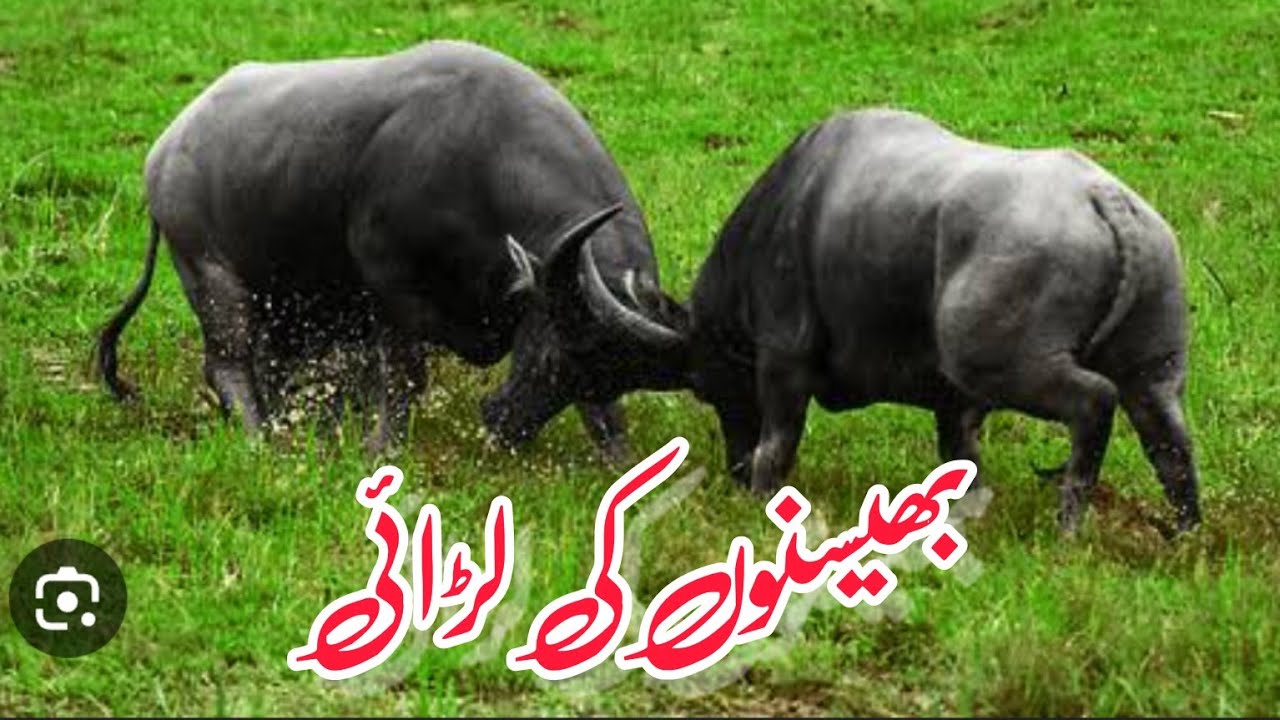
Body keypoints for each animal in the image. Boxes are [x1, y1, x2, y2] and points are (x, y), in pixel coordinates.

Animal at [96, 40, 684, 457]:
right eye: (555, 350)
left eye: (597, 373)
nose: (503, 424)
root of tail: (166, 147)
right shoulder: (391, 288)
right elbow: (405, 377)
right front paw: (381, 449)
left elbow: (604, 417)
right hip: (209, 272)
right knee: (227, 365)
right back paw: (262, 437)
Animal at [580, 108, 1202, 533]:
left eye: (706, 387)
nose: (733, 472)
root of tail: (1105, 200)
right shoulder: (953, 404)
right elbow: (961, 458)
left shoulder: (783, 358)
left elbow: (778, 444)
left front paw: (761, 497)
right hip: (1155, 365)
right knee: (1167, 436)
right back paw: (1185, 531)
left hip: (1003, 360)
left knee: (1095, 402)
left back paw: (1068, 526)